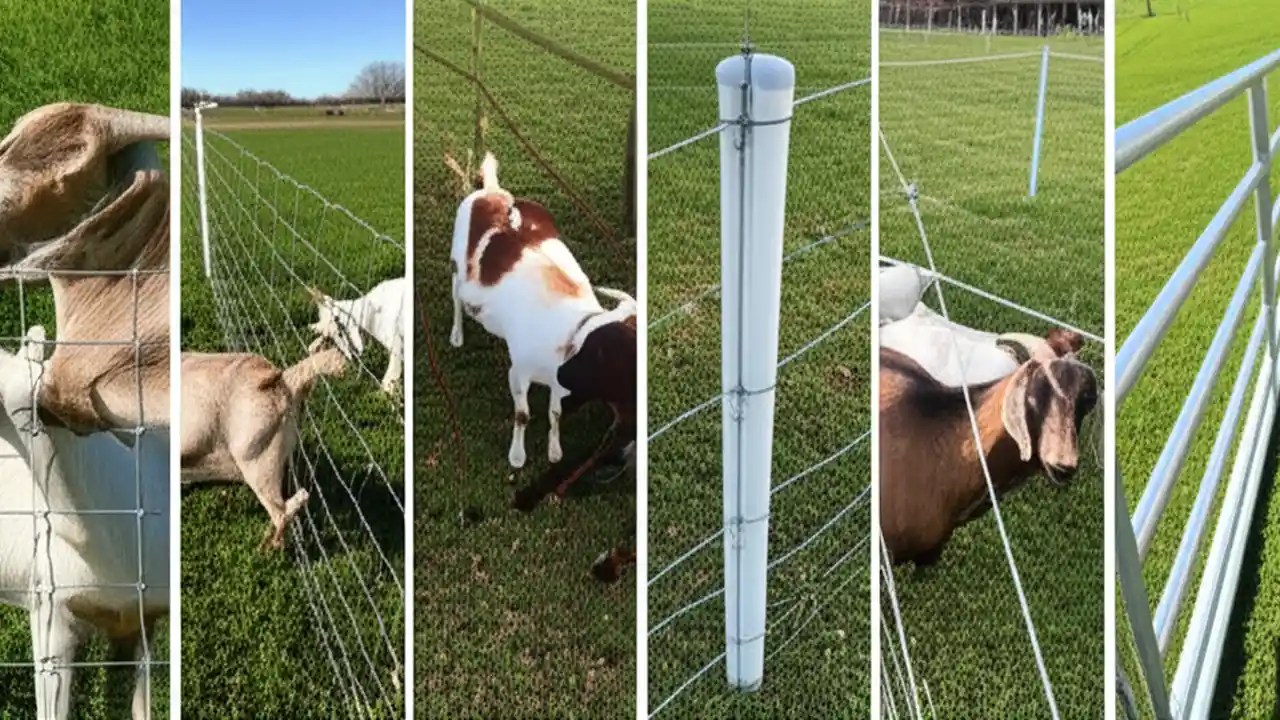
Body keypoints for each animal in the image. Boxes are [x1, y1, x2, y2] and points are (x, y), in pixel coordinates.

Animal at [449, 151, 636, 469]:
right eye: (620, 360)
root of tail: (490, 192)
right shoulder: (518, 371)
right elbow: (523, 414)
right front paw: (517, 456)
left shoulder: (558, 383)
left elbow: (555, 413)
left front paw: (555, 451)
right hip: (457, 266)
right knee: (455, 297)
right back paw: (457, 335)